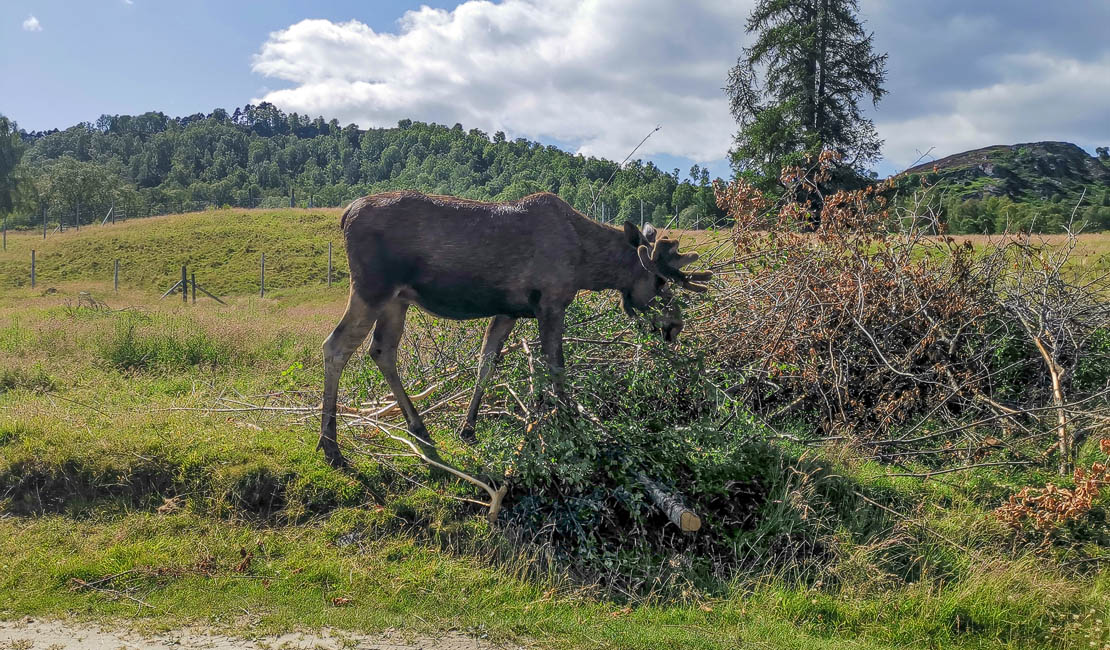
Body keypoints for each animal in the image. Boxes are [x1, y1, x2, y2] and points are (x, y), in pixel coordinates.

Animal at [319, 190, 711, 468]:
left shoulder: (509, 311)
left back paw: (419, 429)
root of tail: (345, 215)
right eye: (659, 280)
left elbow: (486, 362)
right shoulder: (551, 303)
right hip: (371, 288)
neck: (588, 265)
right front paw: (572, 427)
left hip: (396, 300)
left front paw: (468, 427)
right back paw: (331, 446)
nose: (675, 324)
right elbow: (556, 369)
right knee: (336, 346)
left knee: (382, 350)